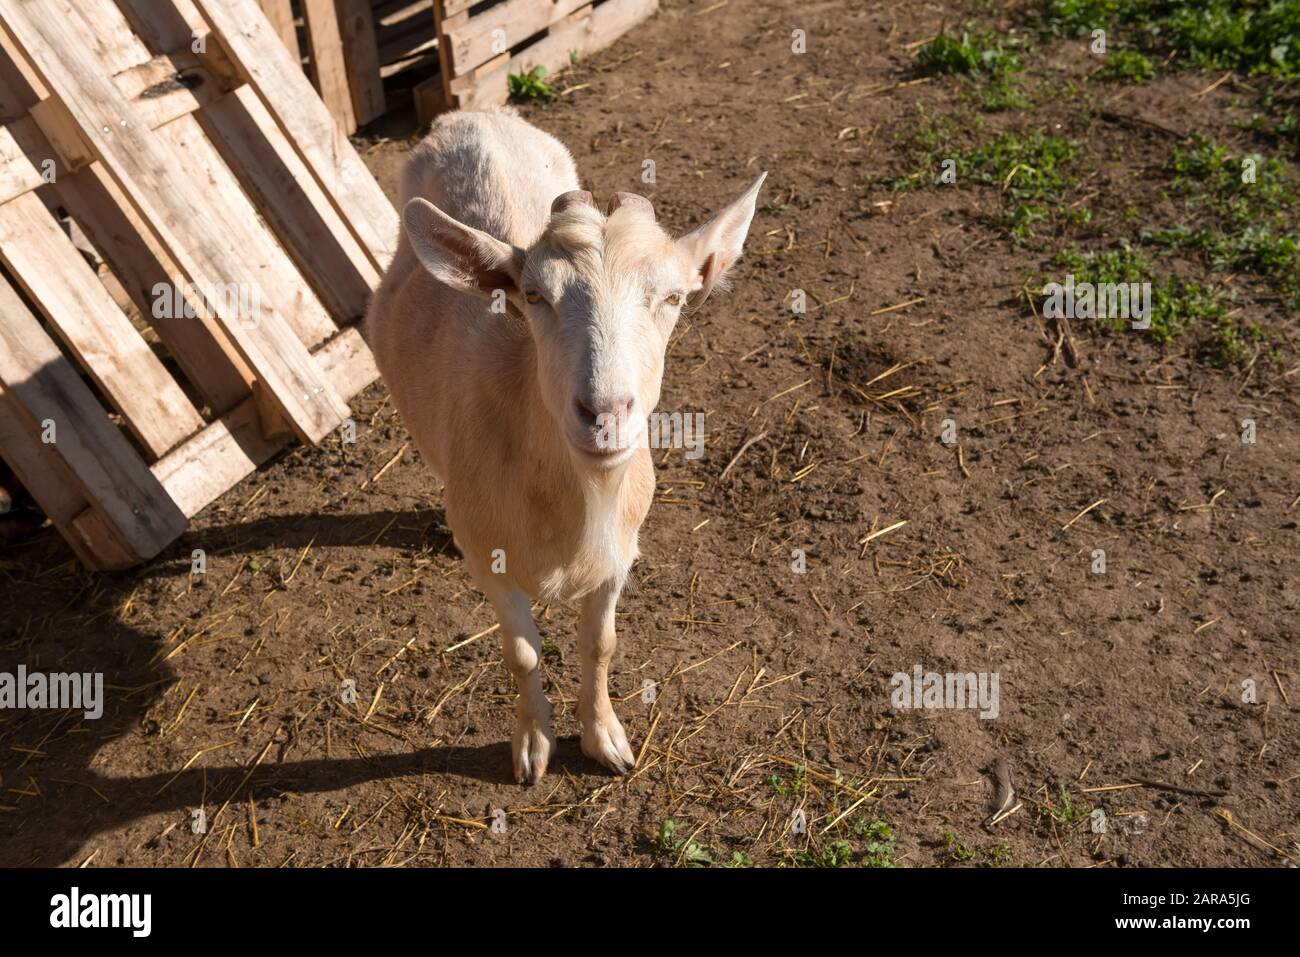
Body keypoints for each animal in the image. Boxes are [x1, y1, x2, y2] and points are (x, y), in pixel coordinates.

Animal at [366, 106, 764, 783]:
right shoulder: (492, 563)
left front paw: (605, 740)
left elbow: (600, 644)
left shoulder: (620, 554)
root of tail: (470, 114)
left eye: (673, 297)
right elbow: (522, 654)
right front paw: (533, 746)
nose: (604, 415)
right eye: (534, 295)